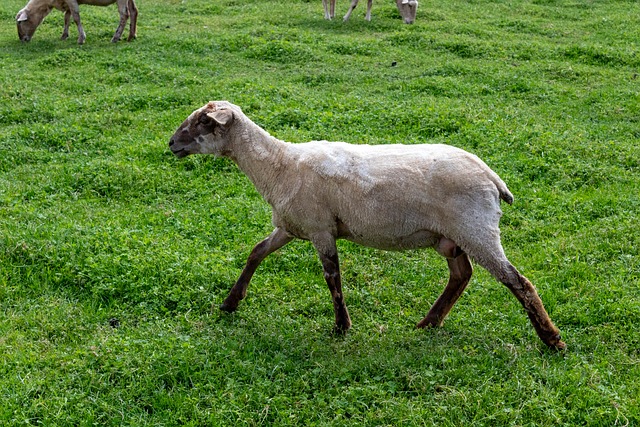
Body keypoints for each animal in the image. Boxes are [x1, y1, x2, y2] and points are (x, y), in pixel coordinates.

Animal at [169, 101, 566, 350]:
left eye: (204, 122)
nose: (171, 143)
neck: (279, 165)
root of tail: (492, 178)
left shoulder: (320, 229)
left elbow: (332, 277)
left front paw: (341, 326)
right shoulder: (292, 226)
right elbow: (256, 253)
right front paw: (230, 303)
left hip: (476, 229)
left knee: (518, 281)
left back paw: (552, 340)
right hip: (451, 237)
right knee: (461, 276)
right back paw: (429, 323)